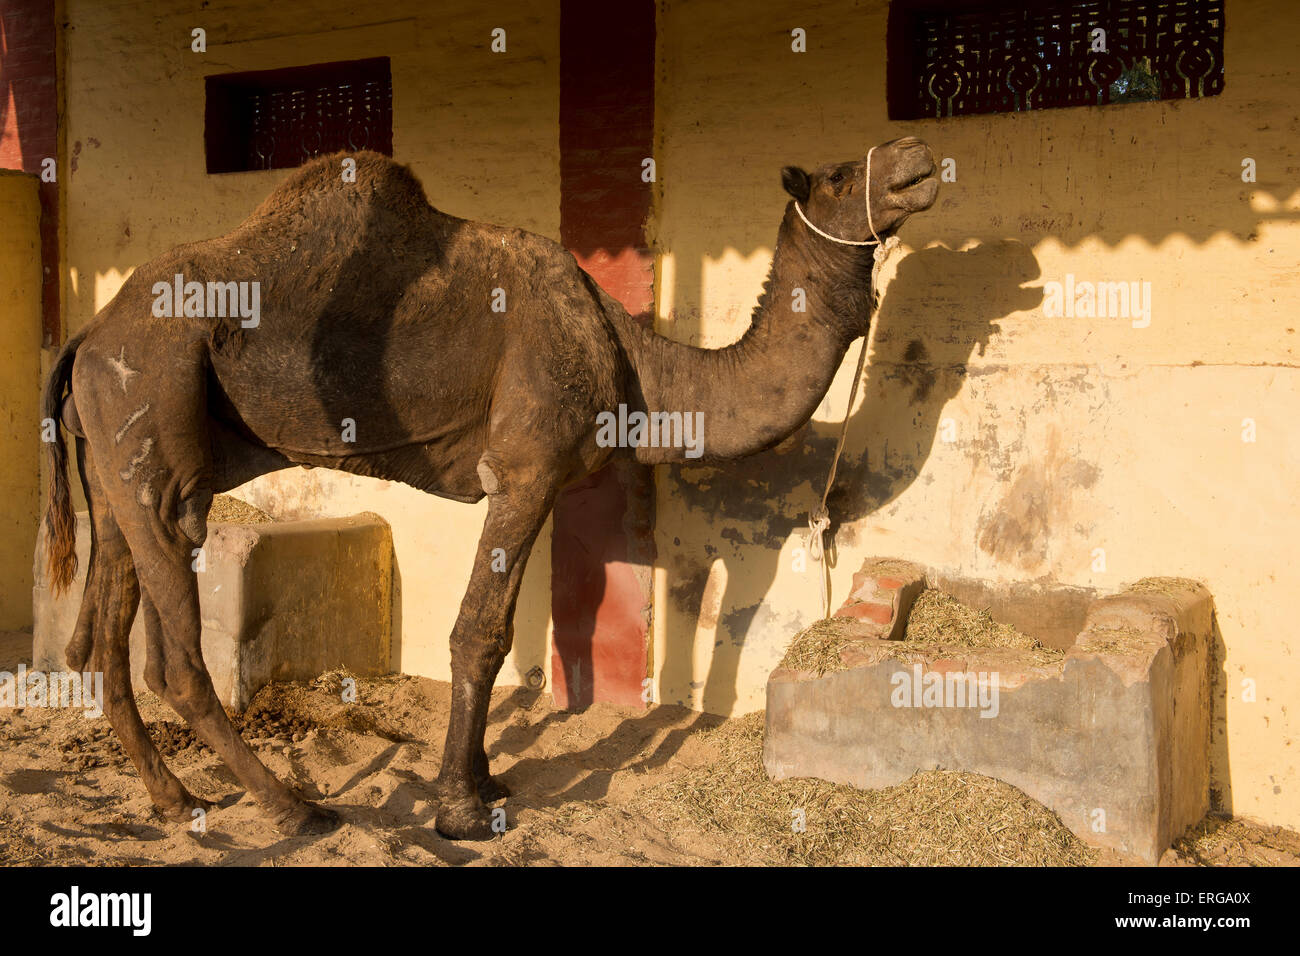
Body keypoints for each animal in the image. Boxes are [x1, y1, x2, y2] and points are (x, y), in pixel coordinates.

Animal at [41, 136, 938, 840]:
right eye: (835, 173)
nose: (915, 156)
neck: (637, 367)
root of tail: (88, 334)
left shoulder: (538, 480)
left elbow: (508, 633)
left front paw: (485, 781)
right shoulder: (526, 467)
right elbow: (480, 632)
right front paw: (462, 812)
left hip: (114, 462)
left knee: (102, 639)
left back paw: (173, 800)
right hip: (151, 417)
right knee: (176, 658)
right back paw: (294, 809)